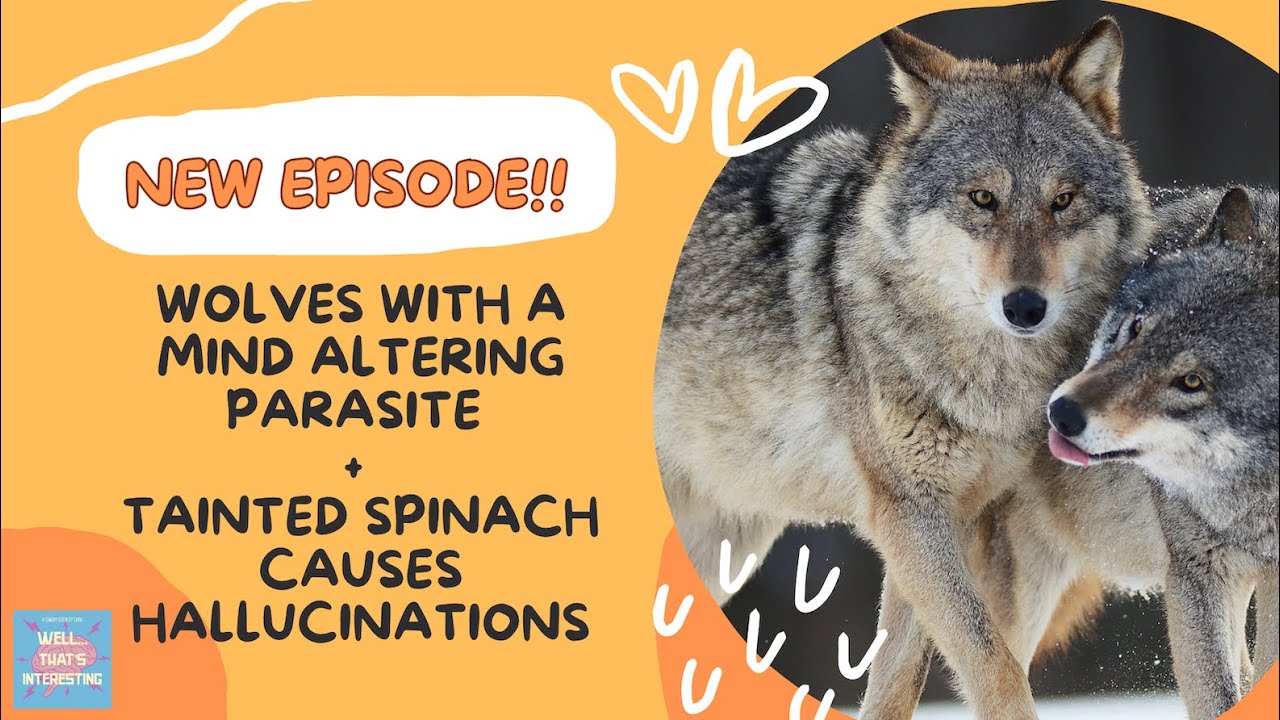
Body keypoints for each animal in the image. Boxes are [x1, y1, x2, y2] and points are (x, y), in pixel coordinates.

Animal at [654, 17, 1151, 718]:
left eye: (1063, 200)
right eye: (982, 199)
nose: (1026, 306)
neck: (985, 380)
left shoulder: (948, 517)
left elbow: (897, 679)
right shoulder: (908, 512)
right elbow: (994, 663)